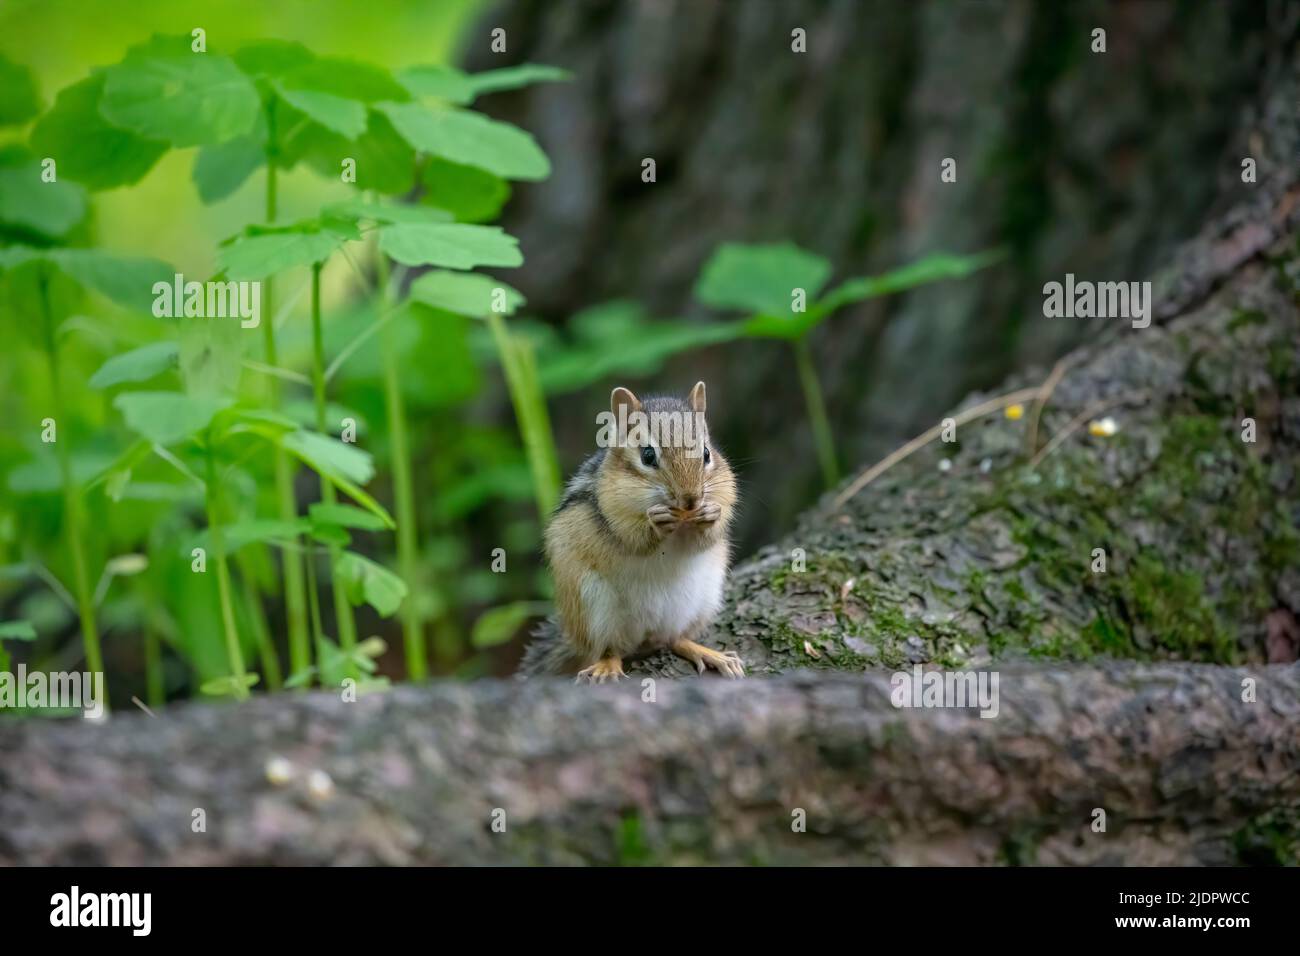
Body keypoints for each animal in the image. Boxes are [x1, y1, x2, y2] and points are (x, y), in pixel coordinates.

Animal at [519, 381, 744, 682]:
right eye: (648, 456)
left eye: (707, 454)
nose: (691, 500)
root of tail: (645, 635)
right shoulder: (611, 507)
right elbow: (632, 538)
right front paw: (655, 522)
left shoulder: (724, 491)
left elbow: (707, 537)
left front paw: (710, 514)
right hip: (594, 610)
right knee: (609, 648)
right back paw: (606, 667)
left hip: (702, 601)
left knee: (675, 640)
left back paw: (708, 653)